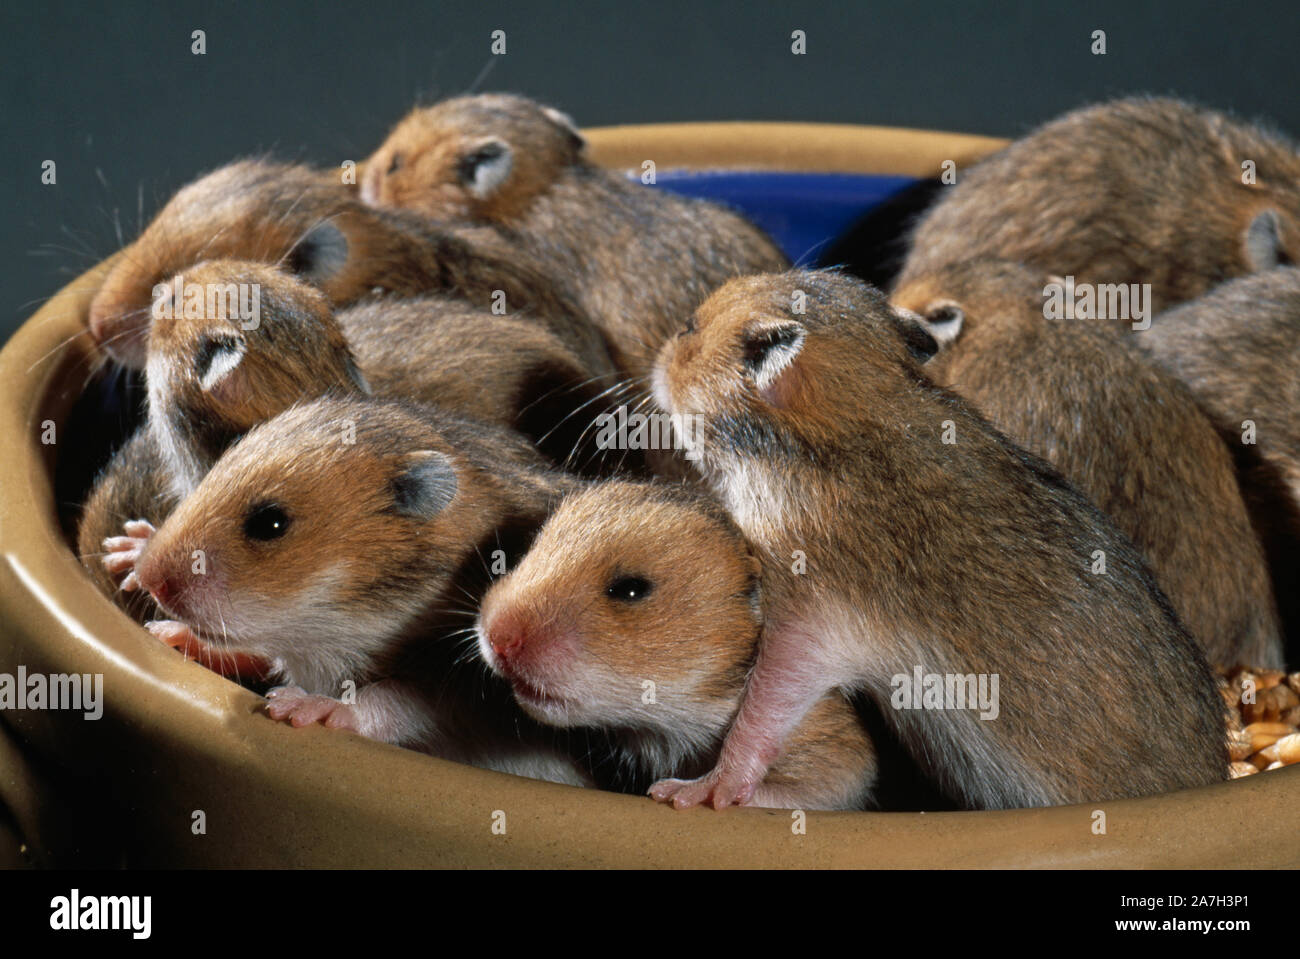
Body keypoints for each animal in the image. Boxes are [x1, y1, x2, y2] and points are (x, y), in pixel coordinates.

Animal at [126, 394, 590, 784]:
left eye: (270, 523)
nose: (148, 579)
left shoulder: (464, 690)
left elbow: (392, 701)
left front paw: (297, 708)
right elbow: (251, 650)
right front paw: (155, 614)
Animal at [475, 480, 880, 810]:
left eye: (631, 590)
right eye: (535, 545)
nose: (497, 638)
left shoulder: (831, 743)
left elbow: (826, 785)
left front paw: (678, 793)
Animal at [647, 270, 1227, 811]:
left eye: (689, 328)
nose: (662, 351)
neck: (843, 423)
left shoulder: (804, 624)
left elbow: (759, 713)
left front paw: (690, 792)